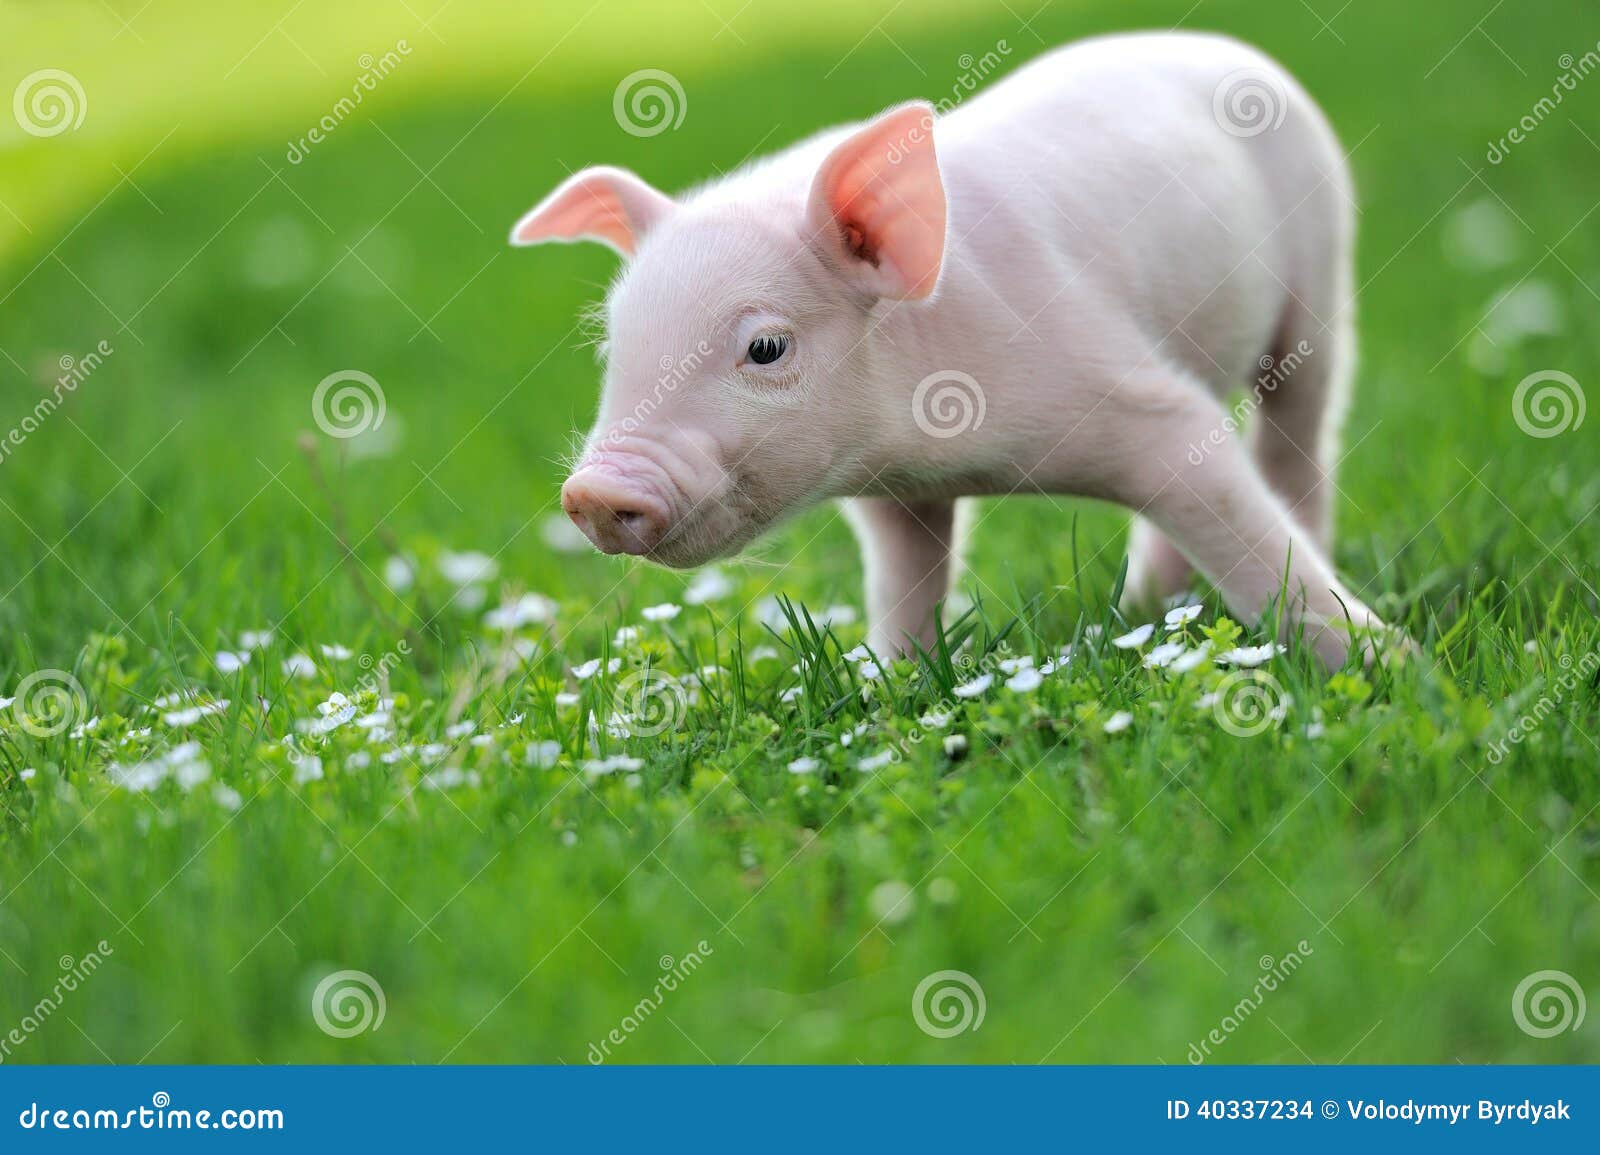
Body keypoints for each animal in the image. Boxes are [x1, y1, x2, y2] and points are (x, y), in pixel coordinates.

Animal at [510, 30, 1400, 670]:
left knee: (1297, 429)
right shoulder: (894, 497)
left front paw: (1389, 671)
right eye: (613, 344)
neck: (945, 453)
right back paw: (1145, 610)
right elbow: (908, 578)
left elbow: (1242, 527)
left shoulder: (1130, 391)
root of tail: (1227, 46)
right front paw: (893, 681)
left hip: (1321, 279)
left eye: (765, 346)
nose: (593, 490)